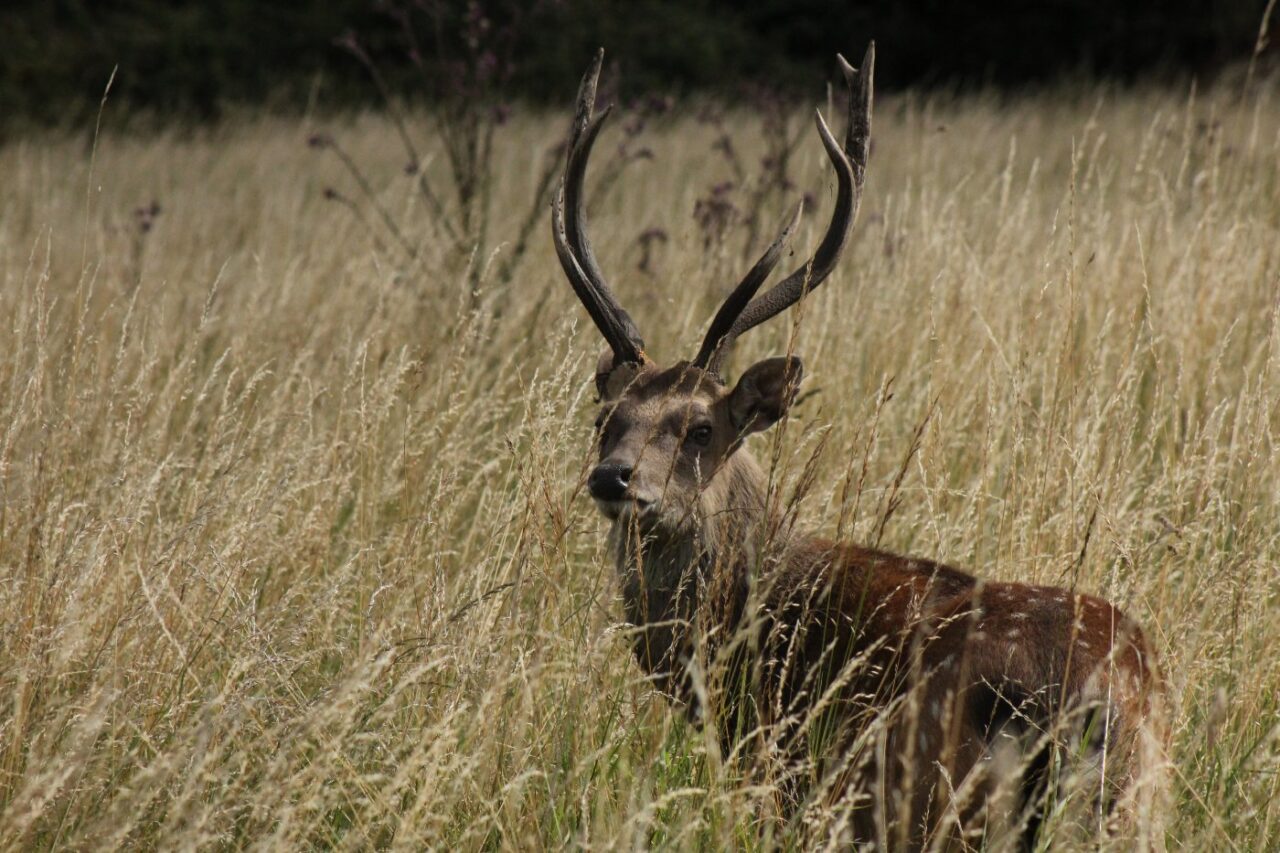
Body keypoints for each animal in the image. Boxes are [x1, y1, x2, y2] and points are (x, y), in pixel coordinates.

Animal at [550, 46, 1166, 850]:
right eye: (605, 418)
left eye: (701, 428)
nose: (614, 477)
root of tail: (1110, 694)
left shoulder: (787, 772)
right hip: (1135, 800)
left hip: (947, 794)